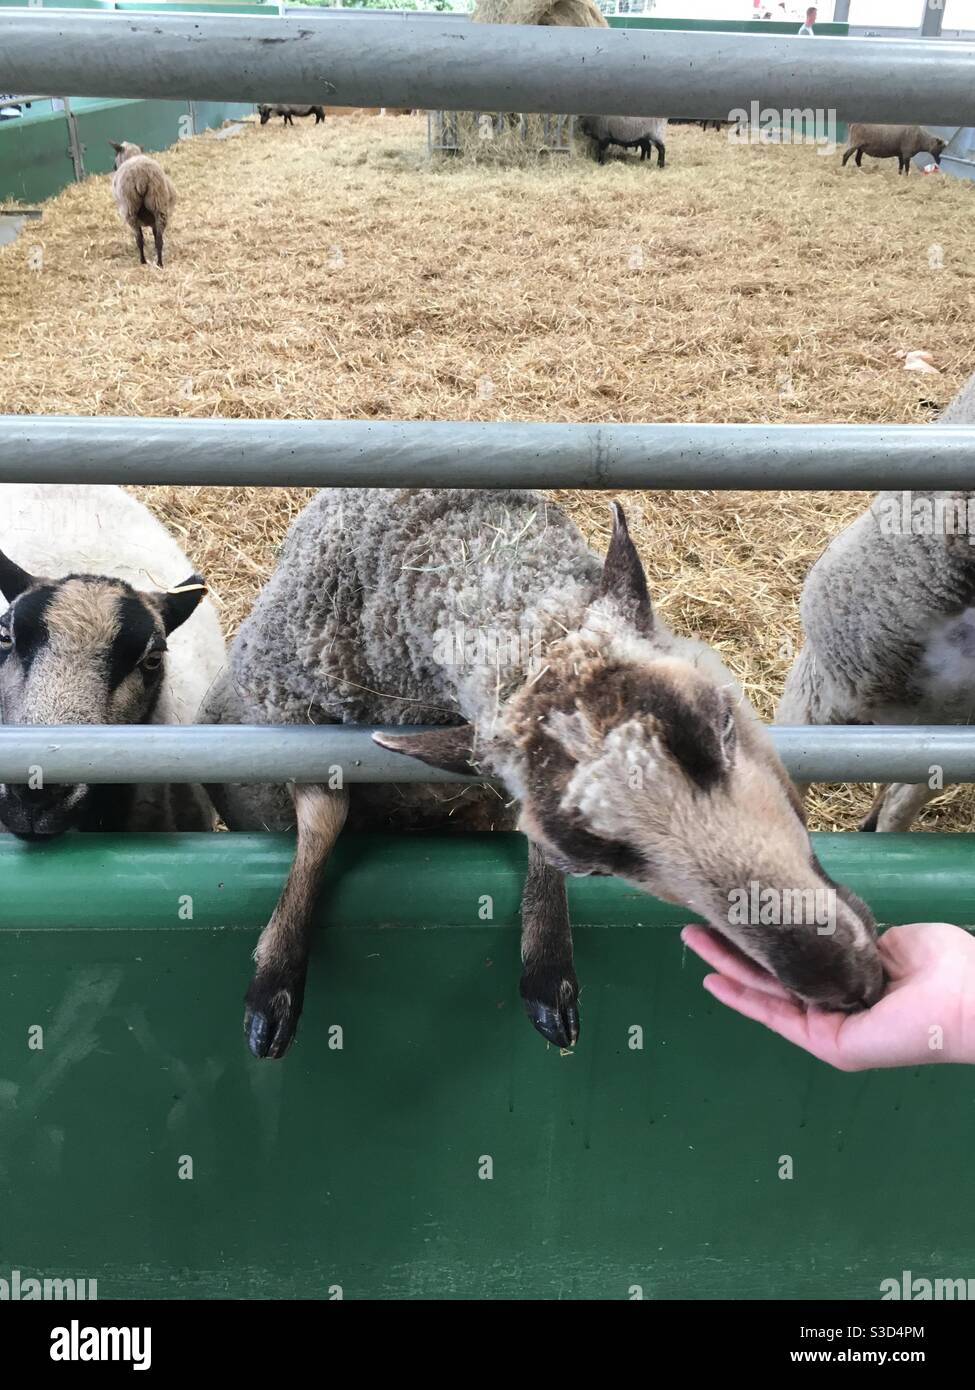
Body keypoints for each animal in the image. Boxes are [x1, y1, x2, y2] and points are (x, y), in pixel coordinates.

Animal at [200, 488, 883, 1060]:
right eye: (593, 860)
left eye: (720, 721)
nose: (851, 981)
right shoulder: (293, 722)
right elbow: (322, 821)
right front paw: (274, 985)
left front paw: (547, 965)